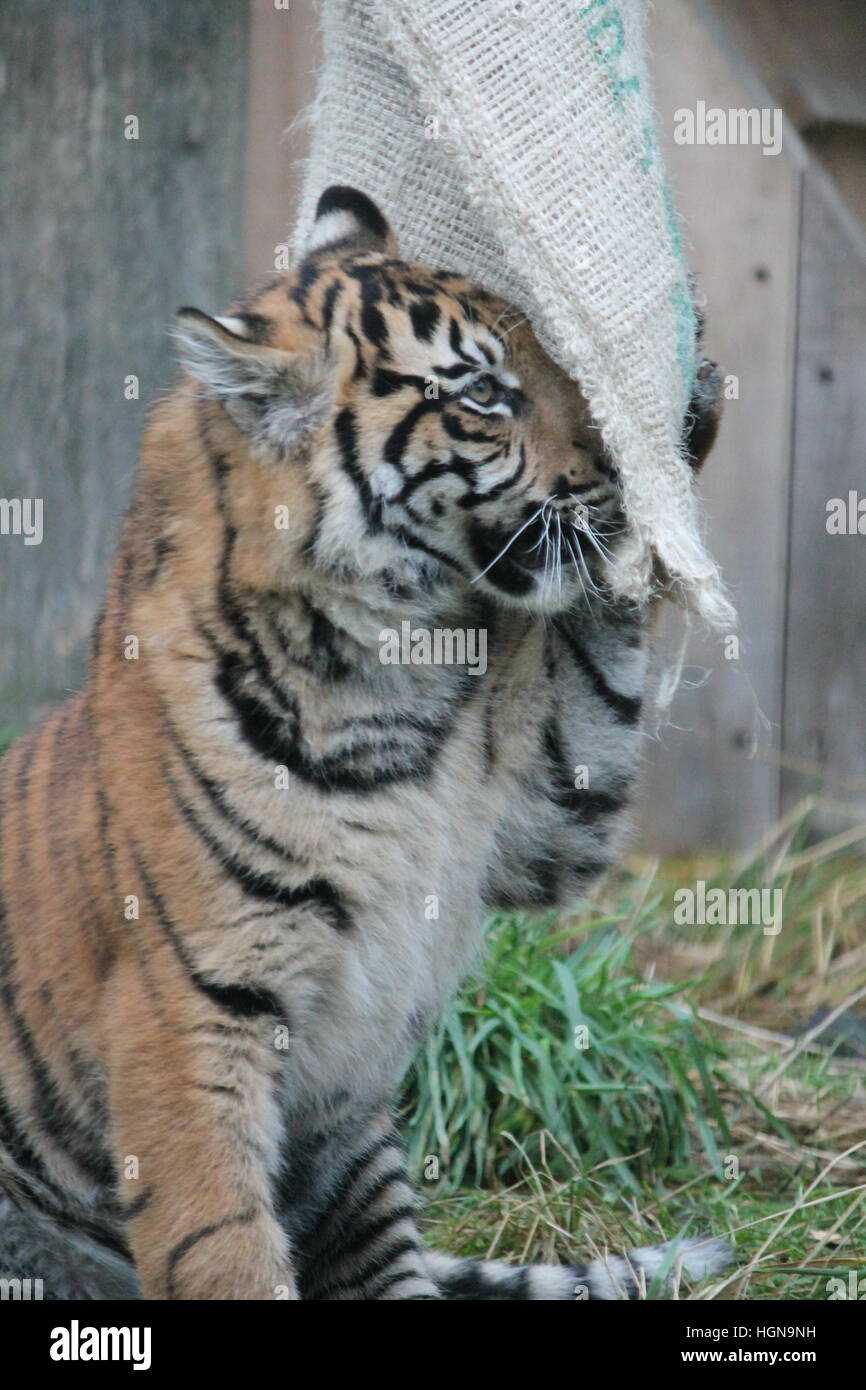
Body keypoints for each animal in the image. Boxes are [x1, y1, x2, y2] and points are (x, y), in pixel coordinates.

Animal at [0, 185, 728, 1299]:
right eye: (485, 392)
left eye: (550, 362)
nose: (612, 464)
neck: (403, 662)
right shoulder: (189, 1012)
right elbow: (225, 1245)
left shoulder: (544, 815)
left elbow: (598, 659)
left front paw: (682, 408)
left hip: (354, 1148)